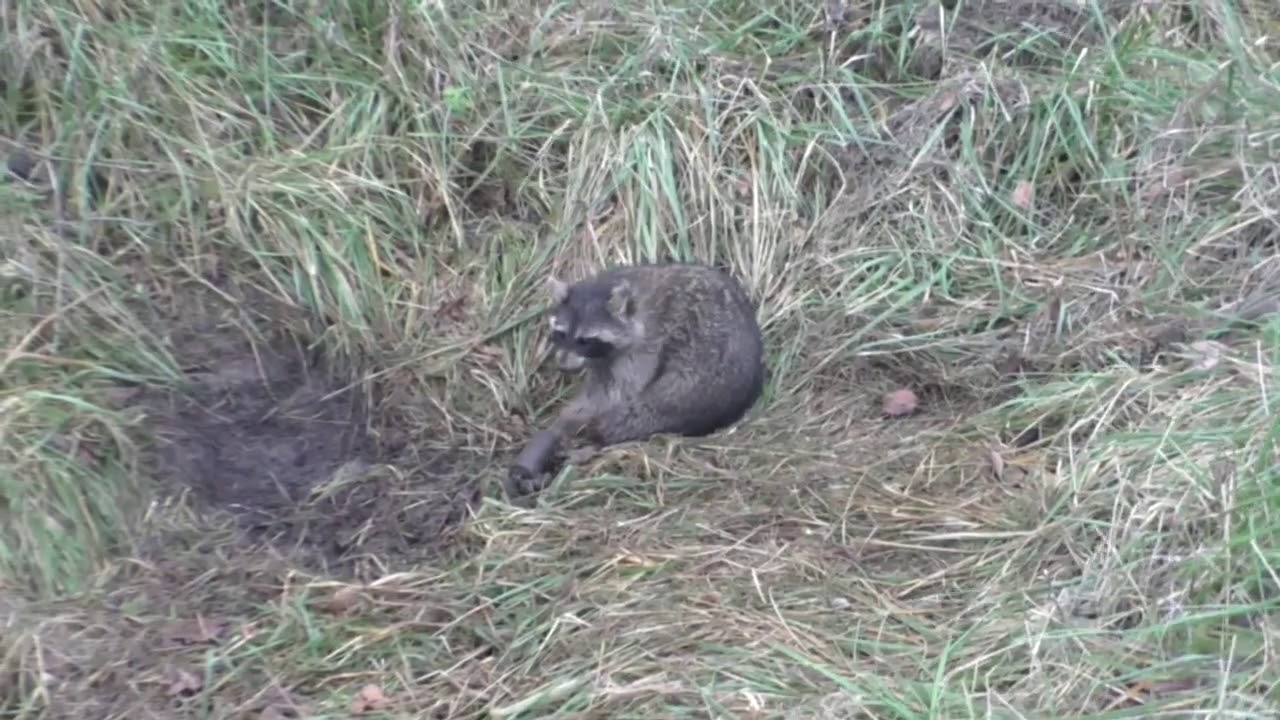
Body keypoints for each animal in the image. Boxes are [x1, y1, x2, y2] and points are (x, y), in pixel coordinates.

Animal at [507, 261, 766, 497]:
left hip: (702, 380)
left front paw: (569, 419)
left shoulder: (647, 344)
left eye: (584, 340)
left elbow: (618, 391)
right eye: (560, 334)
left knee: (640, 412)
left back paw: (596, 438)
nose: (562, 366)